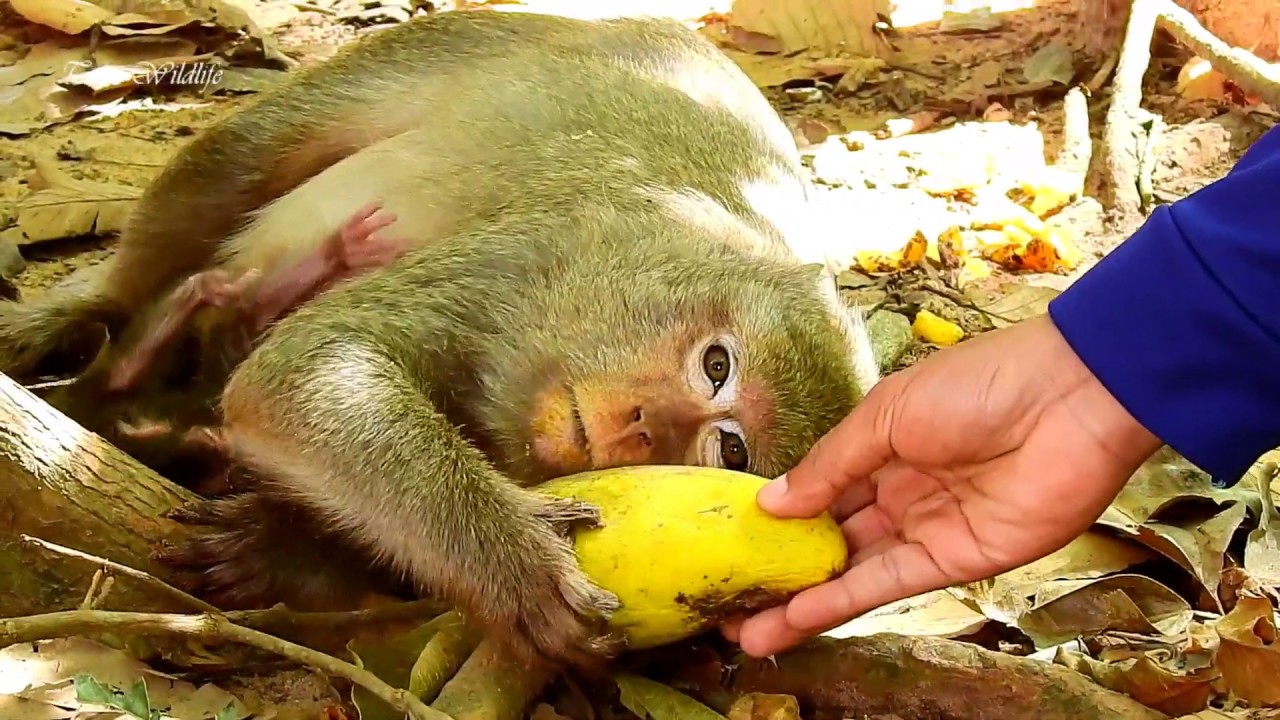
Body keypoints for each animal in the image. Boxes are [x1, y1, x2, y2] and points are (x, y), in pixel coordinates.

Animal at [0, 11, 881, 669]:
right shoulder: (537, 250)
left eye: (731, 451)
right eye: (716, 364)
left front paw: (288, 550)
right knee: (233, 168)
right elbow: (305, 370)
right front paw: (512, 558)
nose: (640, 424)